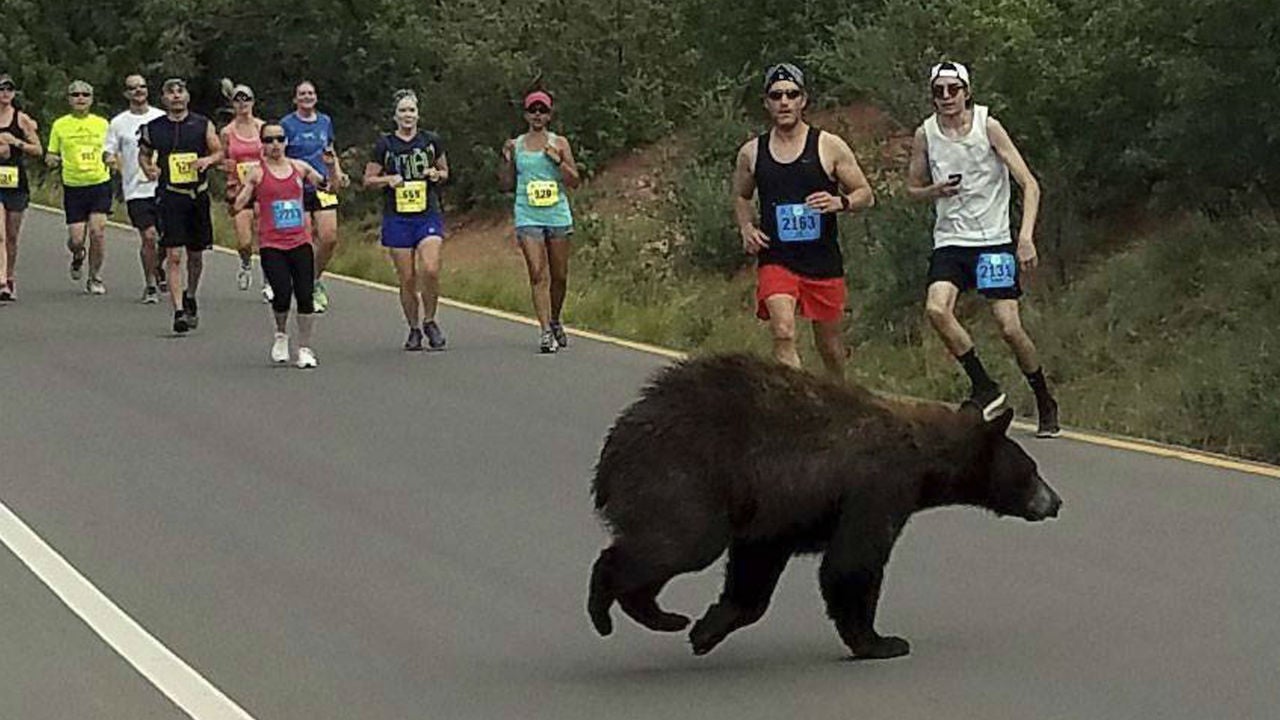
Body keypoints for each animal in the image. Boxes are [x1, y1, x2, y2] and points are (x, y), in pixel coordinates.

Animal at [587, 353, 1061, 660]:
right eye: (1032, 469)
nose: (1055, 501)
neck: (927, 456)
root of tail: (611, 453)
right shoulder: (878, 485)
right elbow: (853, 563)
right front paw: (881, 641)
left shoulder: (778, 508)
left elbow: (757, 564)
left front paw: (710, 626)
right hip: (683, 477)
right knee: (679, 543)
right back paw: (626, 611)